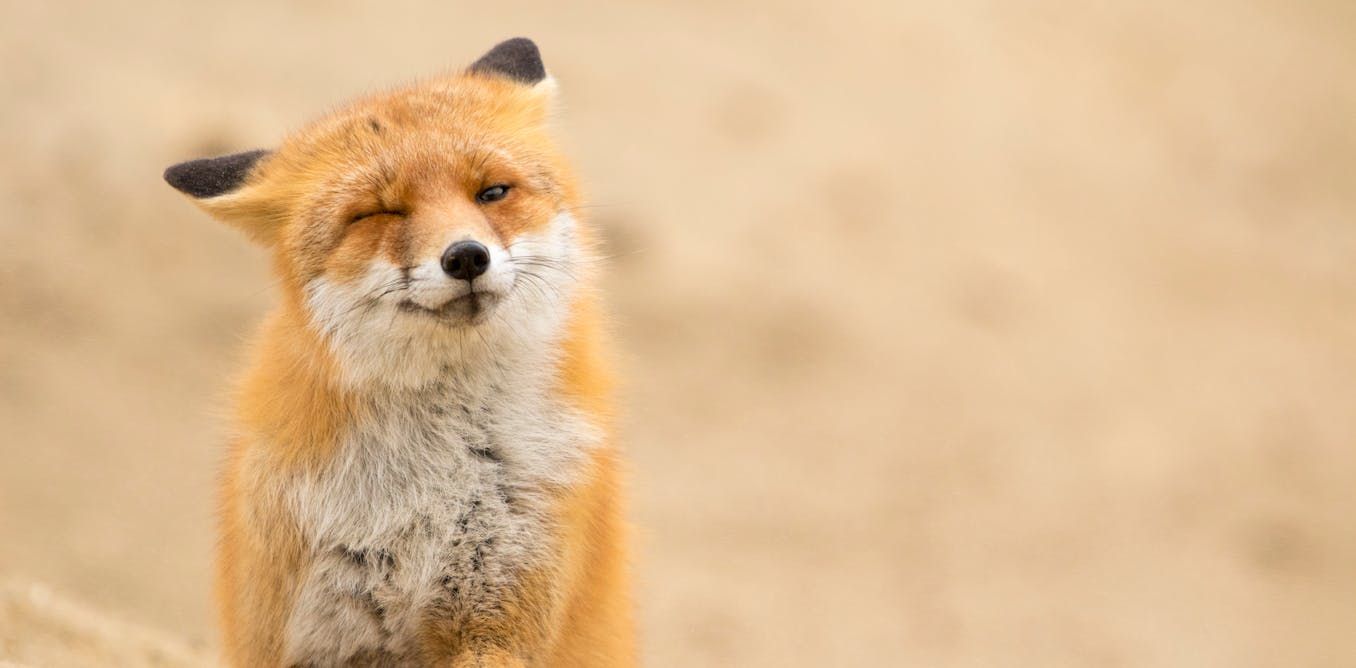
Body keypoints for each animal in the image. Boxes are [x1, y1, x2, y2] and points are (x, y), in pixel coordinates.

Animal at [162, 38, 633, 667]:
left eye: (491, 192)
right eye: (379, 213)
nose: (466, 256)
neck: (420, 489)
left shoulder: (503, 612)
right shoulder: (310, 633)